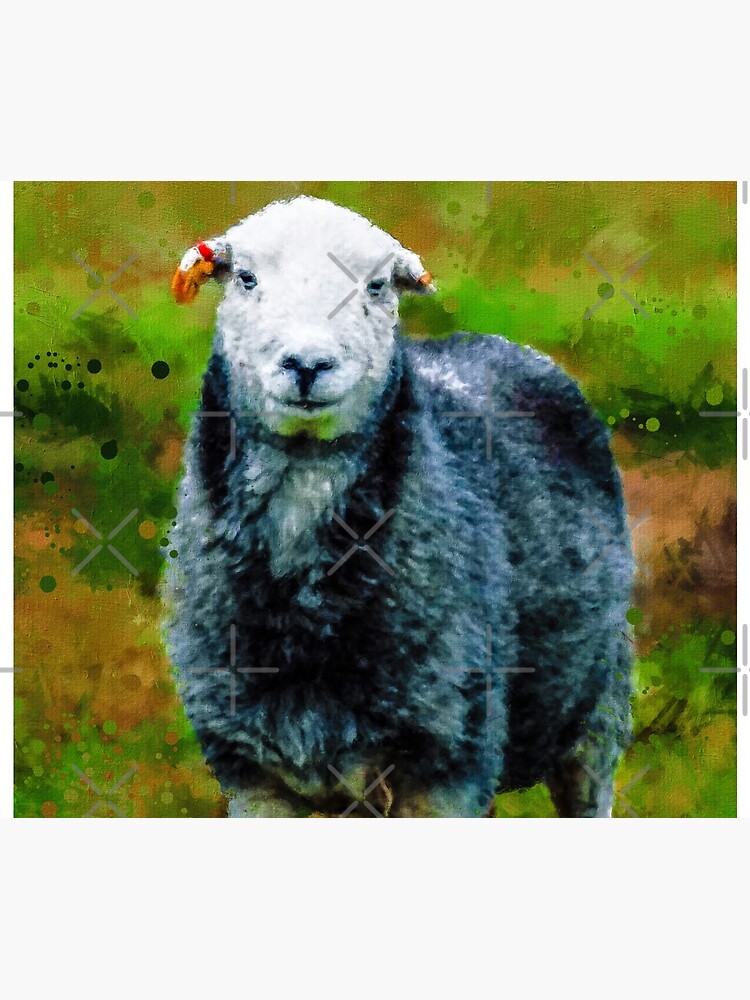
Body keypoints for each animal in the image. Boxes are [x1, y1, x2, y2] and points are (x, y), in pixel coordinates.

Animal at [163, 195, 633, 818]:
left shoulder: (446, 762)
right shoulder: (252, 771)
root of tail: (494, 341)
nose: (307, 364)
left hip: (598, 709)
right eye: (245, 278)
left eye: (378, 284)